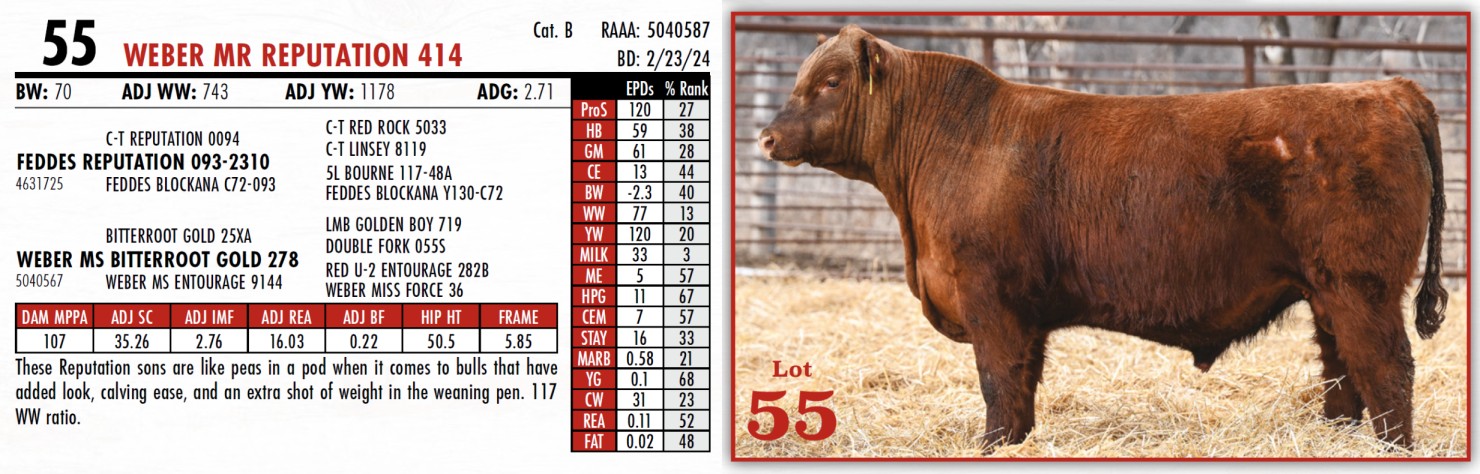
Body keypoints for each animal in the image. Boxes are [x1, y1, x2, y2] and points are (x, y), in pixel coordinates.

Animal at [757, 25, 1448, 450]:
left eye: (831, 82)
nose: (767, 136)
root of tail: (1387, 90)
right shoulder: (1024, 314)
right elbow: (1021, 388)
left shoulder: (991, 300)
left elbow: (997, 381)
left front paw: (991, 445)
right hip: (1328, 293)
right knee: (1341, 374)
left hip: (1362, 287)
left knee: (1386, 369)